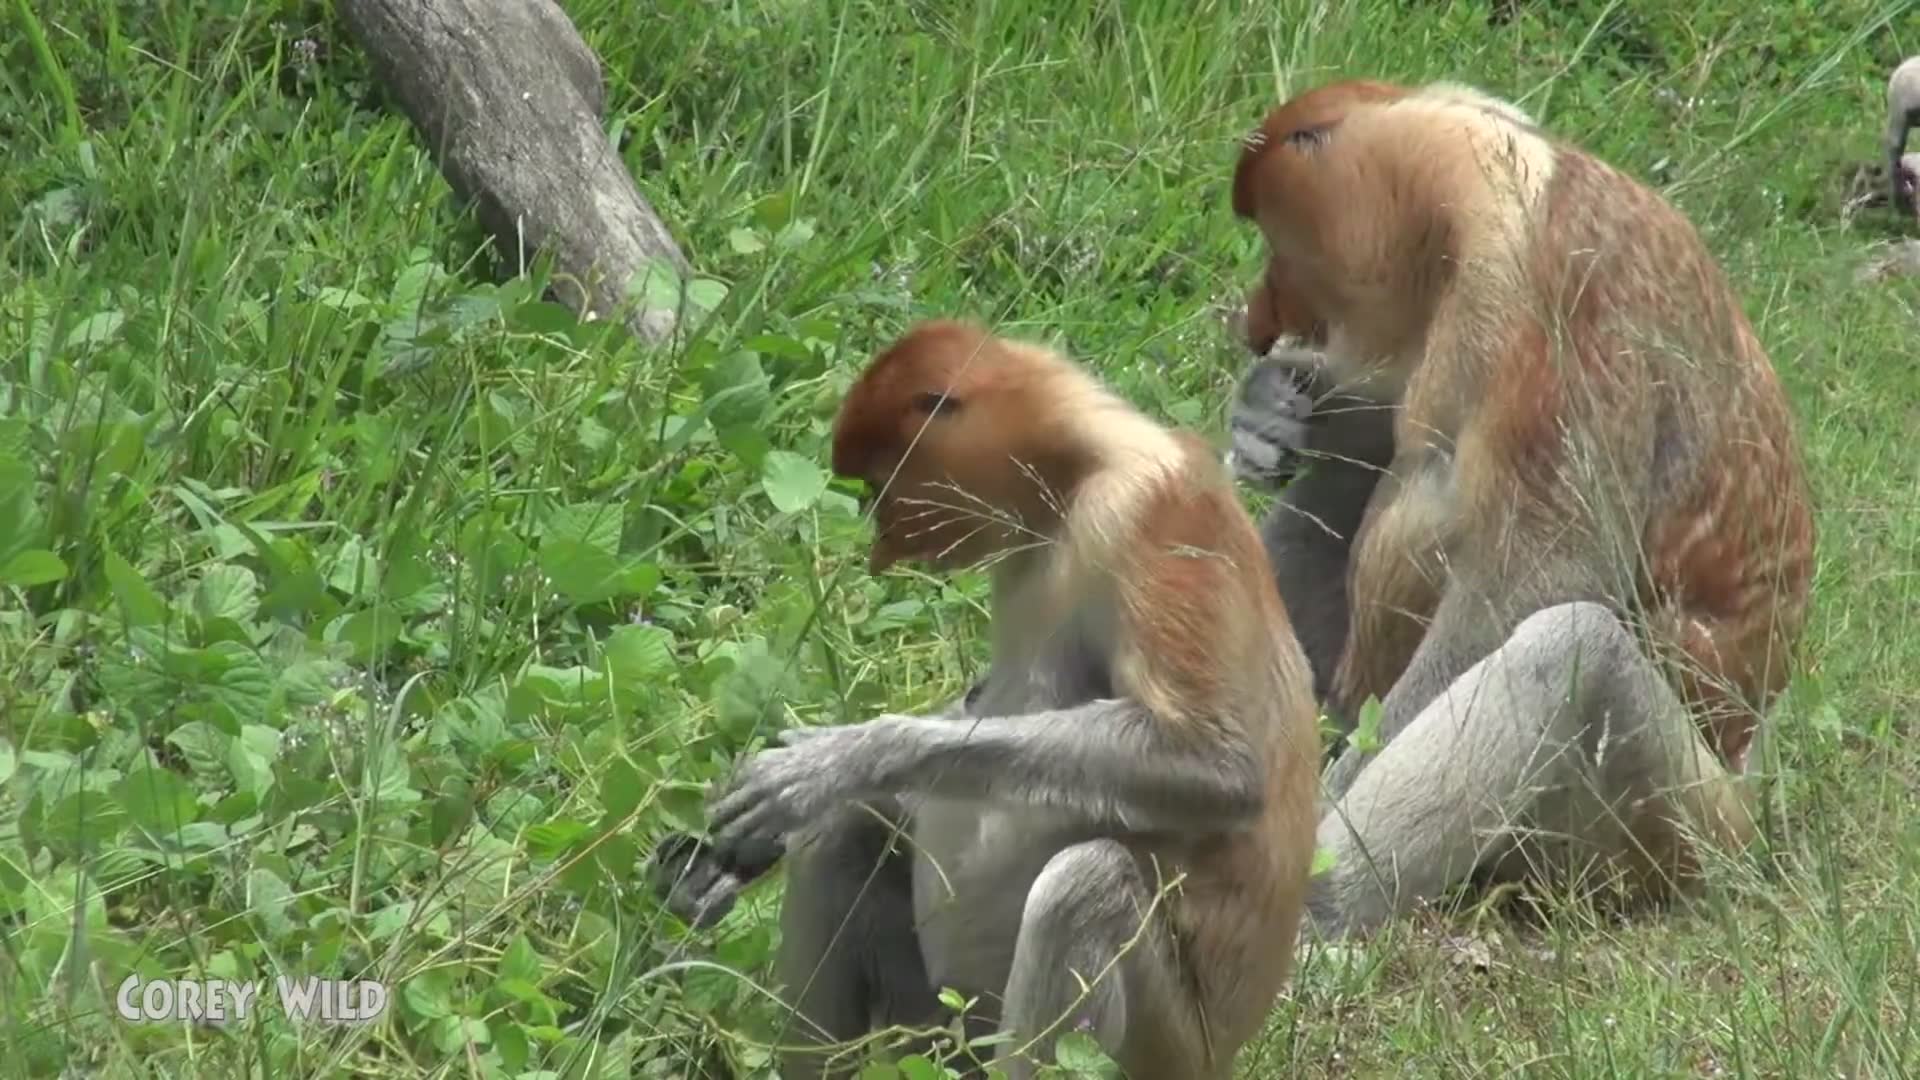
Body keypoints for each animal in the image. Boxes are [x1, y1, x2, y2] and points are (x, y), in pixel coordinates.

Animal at [670, 320, 1322, 1079]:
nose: (881, 551)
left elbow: (1216, 763)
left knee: (1085, 887)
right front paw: (716, 865)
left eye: (881, 485)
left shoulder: (1155, 515)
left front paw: (835, 760)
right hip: (936, 1029)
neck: (1073, 476)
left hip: (1160, 1050)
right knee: (850, 832)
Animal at [1224, 77, 1815, 936]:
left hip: (1664, 826)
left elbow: (1533, 582)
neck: (1508, 181)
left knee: (1572, 653)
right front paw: (1273, 411)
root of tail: (1750, 786)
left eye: (1279, 245)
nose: (1259, 324)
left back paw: (1309, 905)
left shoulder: (1558, 302)